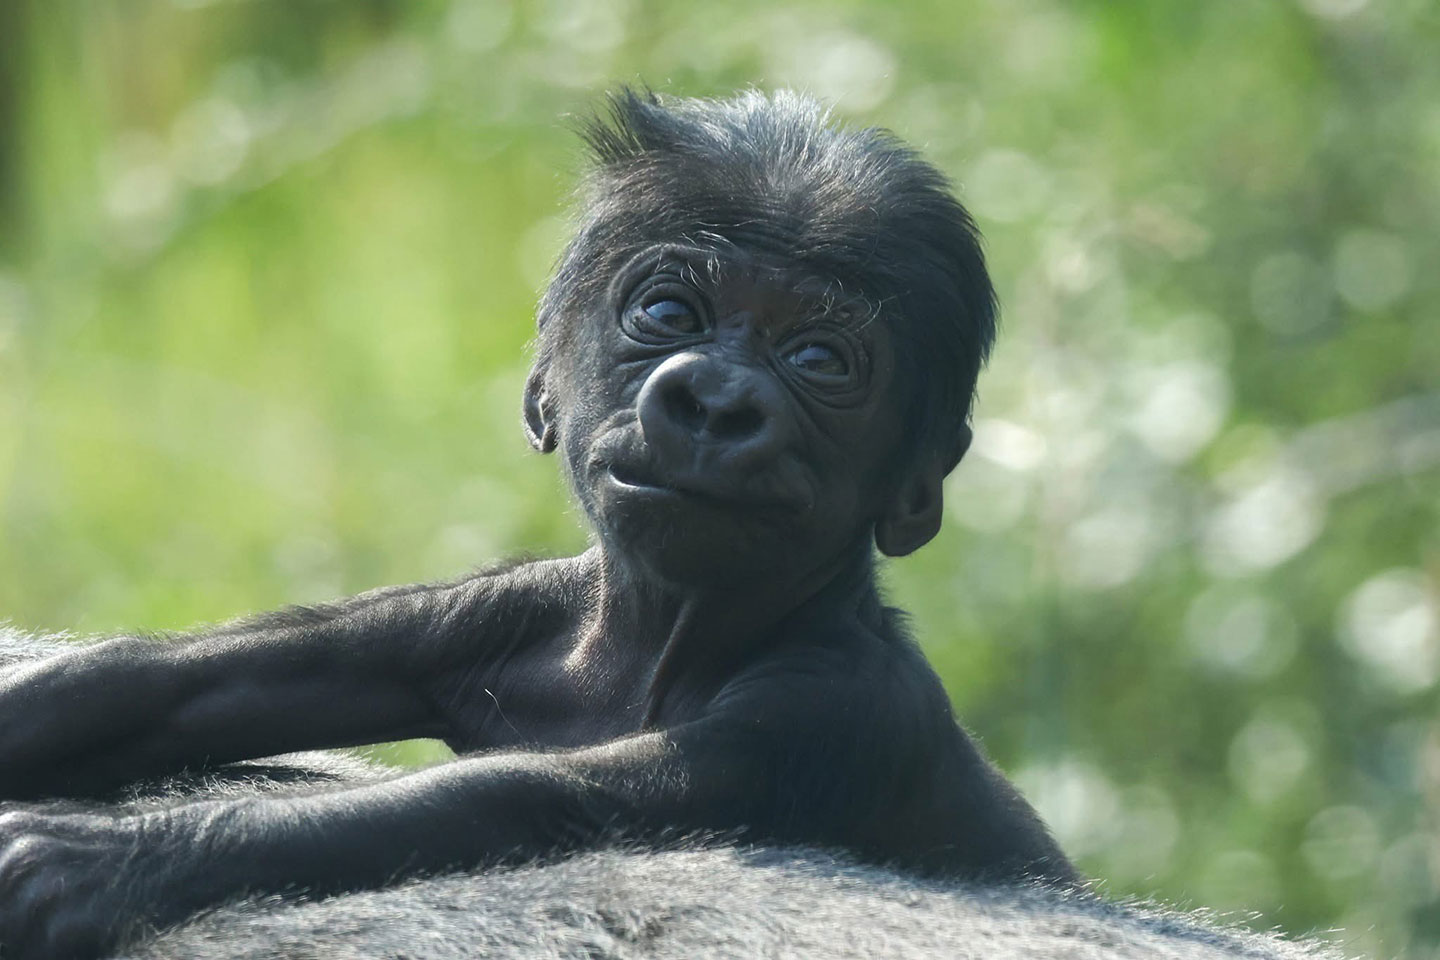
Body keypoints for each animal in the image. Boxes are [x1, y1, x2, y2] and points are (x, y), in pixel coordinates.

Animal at [0, 89, 1073, 959]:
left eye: (818, 361)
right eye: (668, 313)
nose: (717, 403)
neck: (656, 638)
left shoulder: (834, 709)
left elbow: (527, 800)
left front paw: (100, 862)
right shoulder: (501, 607)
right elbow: (200, 683)